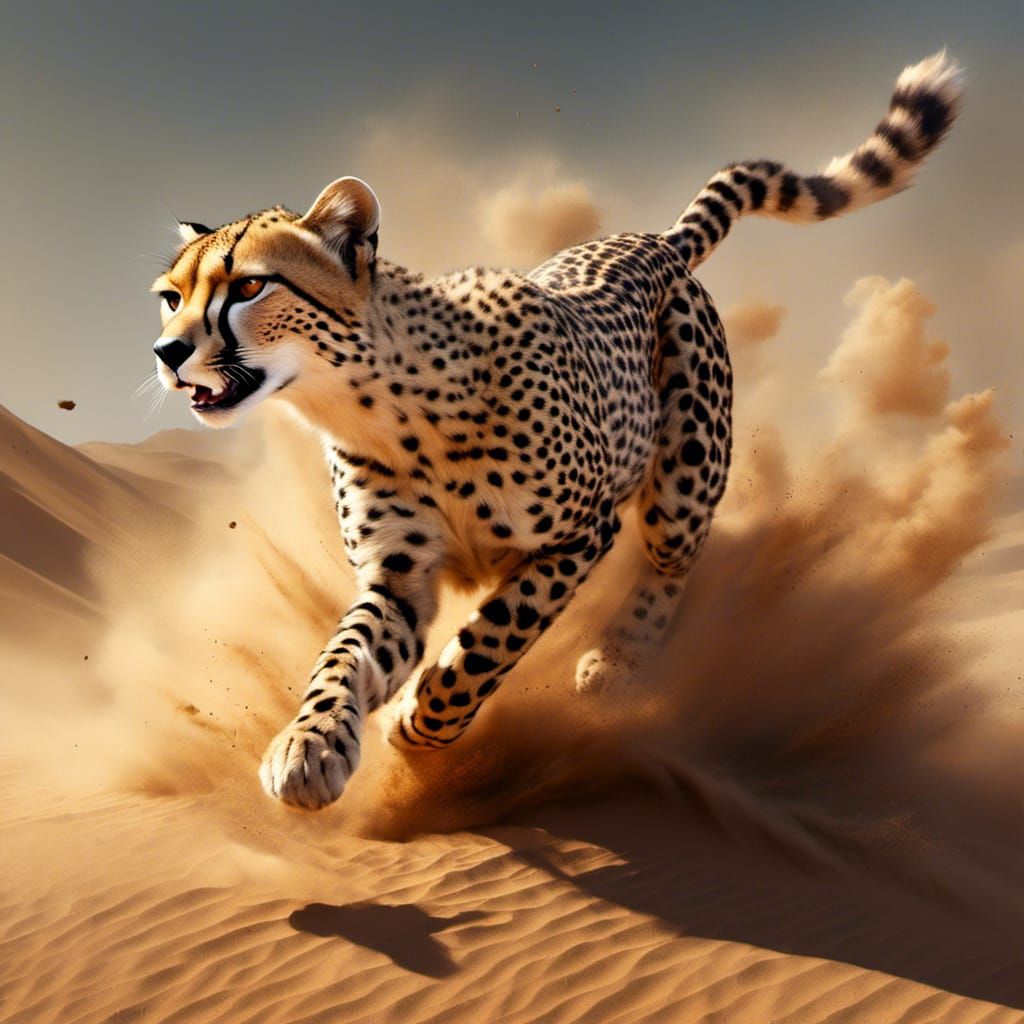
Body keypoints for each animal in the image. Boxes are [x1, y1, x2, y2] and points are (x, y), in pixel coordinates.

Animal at [150, 53, 962, 809]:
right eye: (171, 297)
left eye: (249, 285)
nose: (167, 352)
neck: (378, 403)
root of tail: (652, 240)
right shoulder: (398, 576)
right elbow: (343, 658)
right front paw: (311, 741)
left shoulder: (580, 535)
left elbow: (489, 641)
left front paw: (419, 722)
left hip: (686, 474)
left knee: (673, 562)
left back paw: (619, 661)